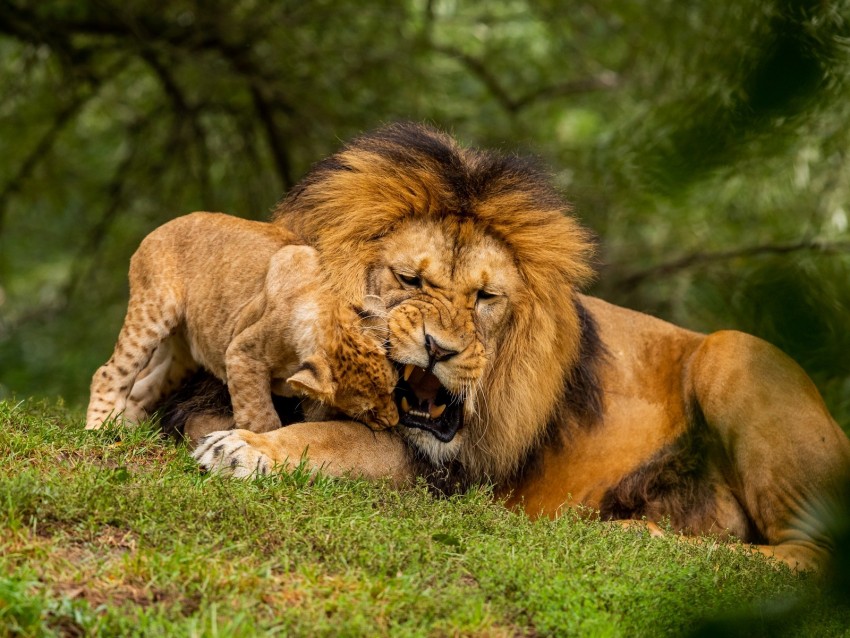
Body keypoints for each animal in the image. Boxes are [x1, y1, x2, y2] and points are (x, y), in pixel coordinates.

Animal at [86, 212, 398, 436]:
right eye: (366, 411)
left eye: (394, 389)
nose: (393, 423)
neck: (330, 317)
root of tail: (163, 226)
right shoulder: (242, 353)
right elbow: (260, 415)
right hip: (153, 310)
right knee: (109, 372)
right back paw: (100, 429)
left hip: (183, 356)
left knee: (142, 390)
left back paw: (128, 431)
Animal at [188, 123, 850, 571]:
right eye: (409, 280)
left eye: (486, 297)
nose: (440, 349)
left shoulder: (442, 476)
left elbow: (333, 441)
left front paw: (246, 450)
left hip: (733, 352)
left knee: (811, 557)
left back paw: (636, 535)